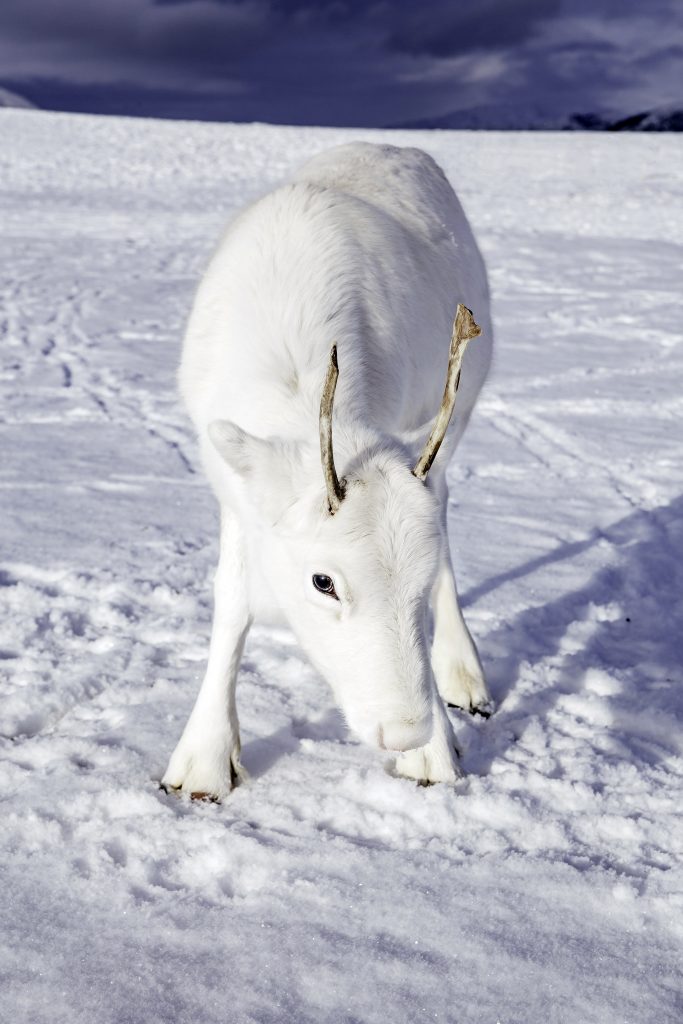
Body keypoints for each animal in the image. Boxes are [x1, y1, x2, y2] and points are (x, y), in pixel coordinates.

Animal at [161, 142, 493, 801]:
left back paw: (464, 674)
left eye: (415, 581)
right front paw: (204, 761)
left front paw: (436, 754)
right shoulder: (238, 492)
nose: (405, 733)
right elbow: (231, 600)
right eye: (323, 582)